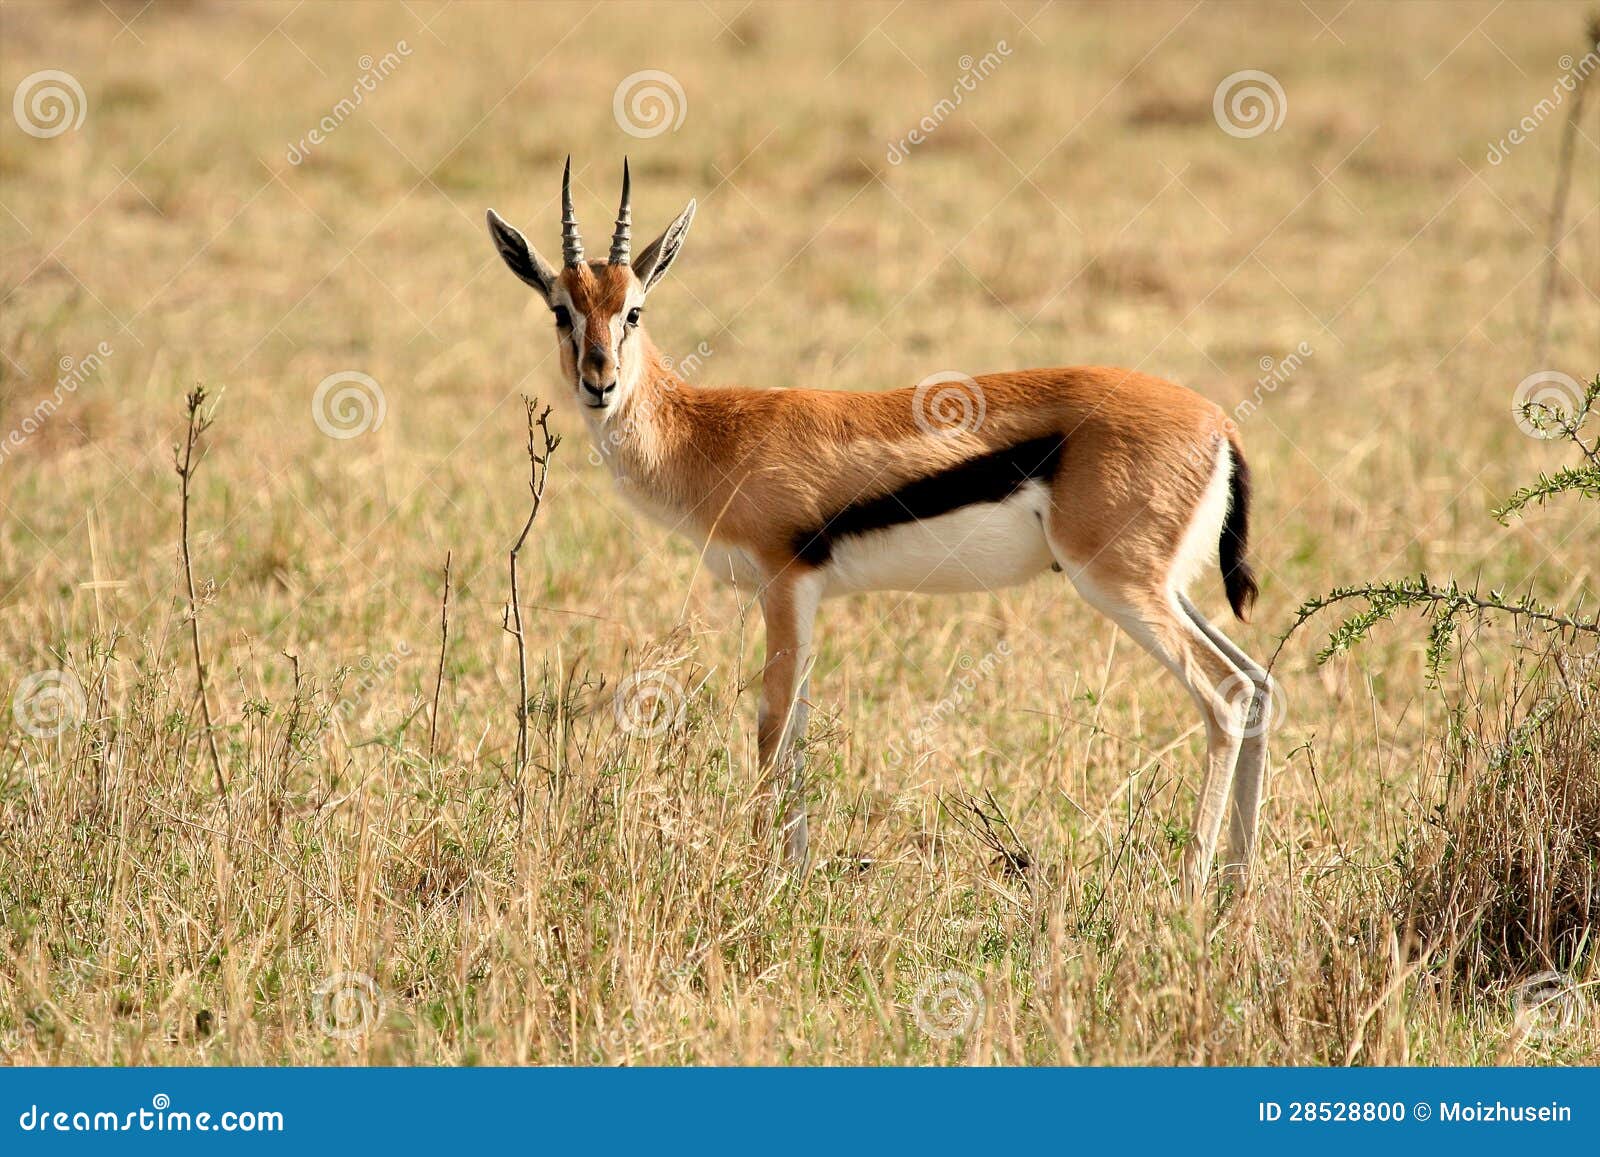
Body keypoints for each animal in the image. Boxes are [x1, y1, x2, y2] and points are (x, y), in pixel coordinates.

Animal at [485, 161, 1273, 897]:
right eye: (562, 310)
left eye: (634, 310)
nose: (601, 382)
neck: (708, 432)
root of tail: (1219, 423)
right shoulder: (800, 596)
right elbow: (799, 730)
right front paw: (796, 874)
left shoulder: (784, 583)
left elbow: (772, 726)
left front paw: (762, 878)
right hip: (1166, 588)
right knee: (1260, 683)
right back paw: (1240, 888)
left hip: (1118, 583)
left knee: (1224, 696)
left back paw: (1191, 886)